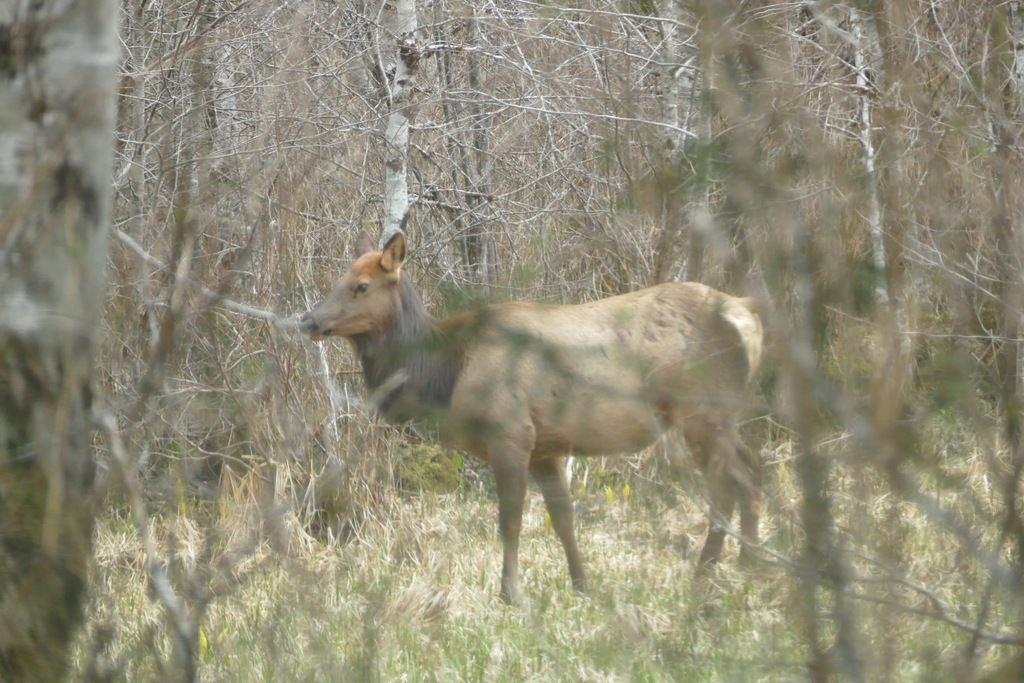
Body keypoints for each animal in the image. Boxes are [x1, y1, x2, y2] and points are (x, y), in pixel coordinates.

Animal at [299, 230, 763, 604]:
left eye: (361, 286)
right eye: (337, 280)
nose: (308, 320)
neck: (446, 373)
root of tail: (747, 314)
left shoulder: (511, 432)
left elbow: (510, 520)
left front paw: (510, 595)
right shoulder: (546, 446)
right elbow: (562, 520)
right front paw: (581, 585)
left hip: (702, 410)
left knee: (731, 483)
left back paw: (707, 573)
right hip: (723, 415)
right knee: (753, 469)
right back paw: (749, 566)